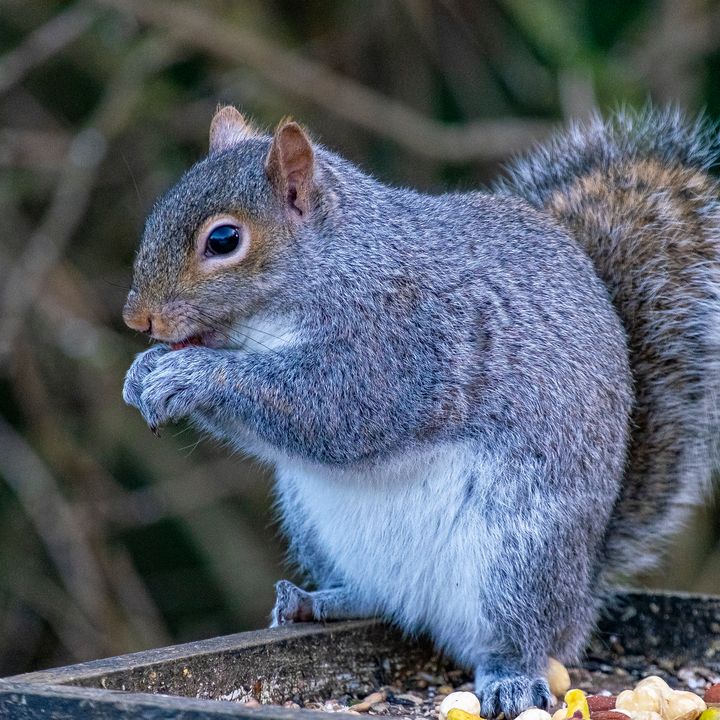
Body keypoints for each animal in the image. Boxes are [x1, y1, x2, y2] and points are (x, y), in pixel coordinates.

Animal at [122, 105, 720, 718]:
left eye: (223, 239)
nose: (136, 320)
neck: (334, 264)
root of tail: (584, 585)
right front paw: (144, 371)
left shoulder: (402, 346)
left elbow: (332, 412)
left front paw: (189, 375)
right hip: (313, 522)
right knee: (378, 599)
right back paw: (319, 600)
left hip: (520, 549)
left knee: (523, 636)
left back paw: (511, 678)